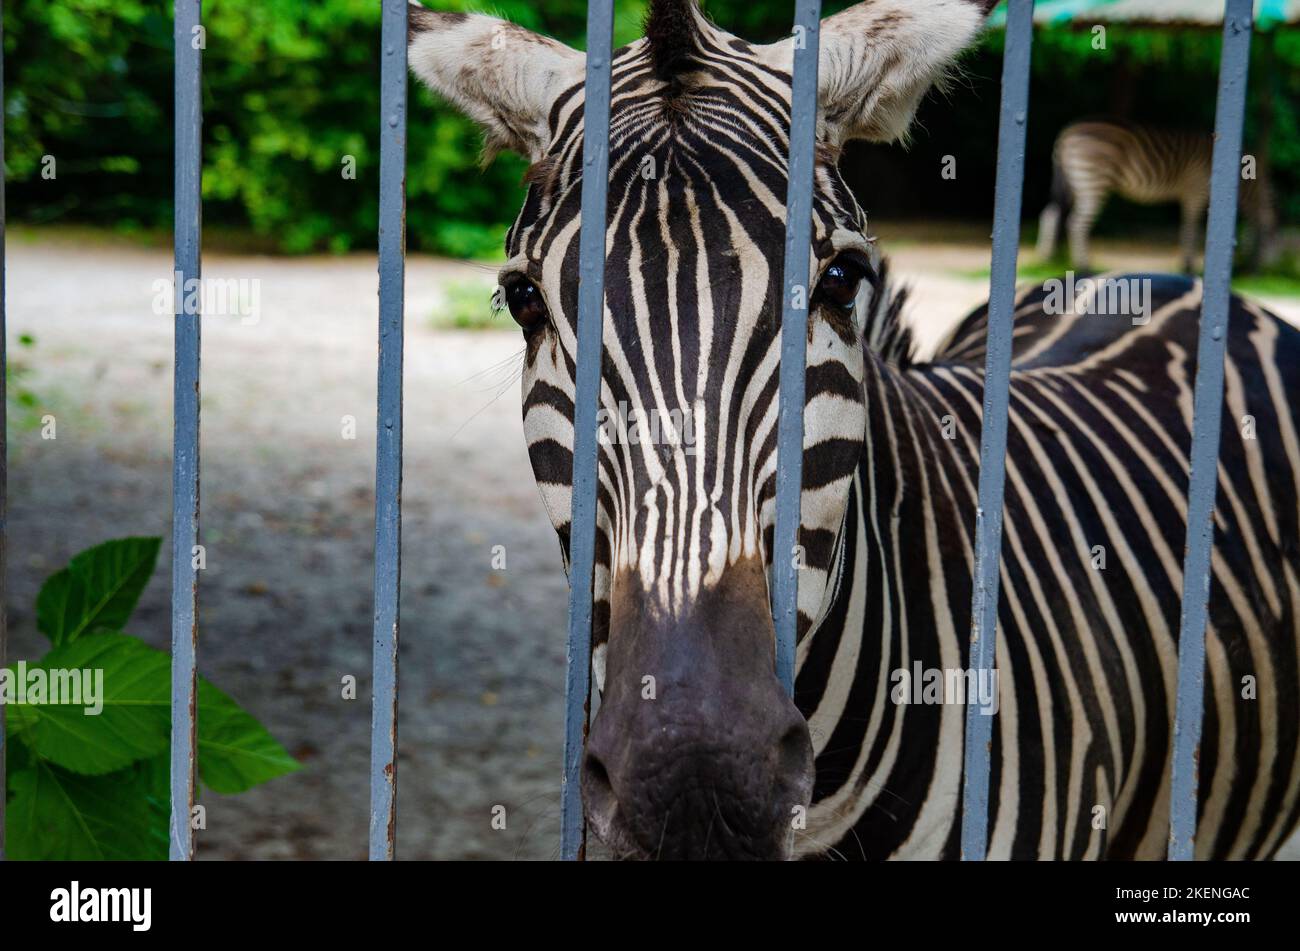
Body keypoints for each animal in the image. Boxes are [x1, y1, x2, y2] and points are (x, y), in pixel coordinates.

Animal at [1036, 119, 1263, 275]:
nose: (1251, 271)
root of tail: (1066, 135)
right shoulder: (1195, 189)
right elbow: (1190, 227)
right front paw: (1188, 266)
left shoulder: (1191, 192)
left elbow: (1188, 225)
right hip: (1091, 179)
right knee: (1076, 222)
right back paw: (1084, 266)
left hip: (1074, 182)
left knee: (1050, 213)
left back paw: (1047, 258)